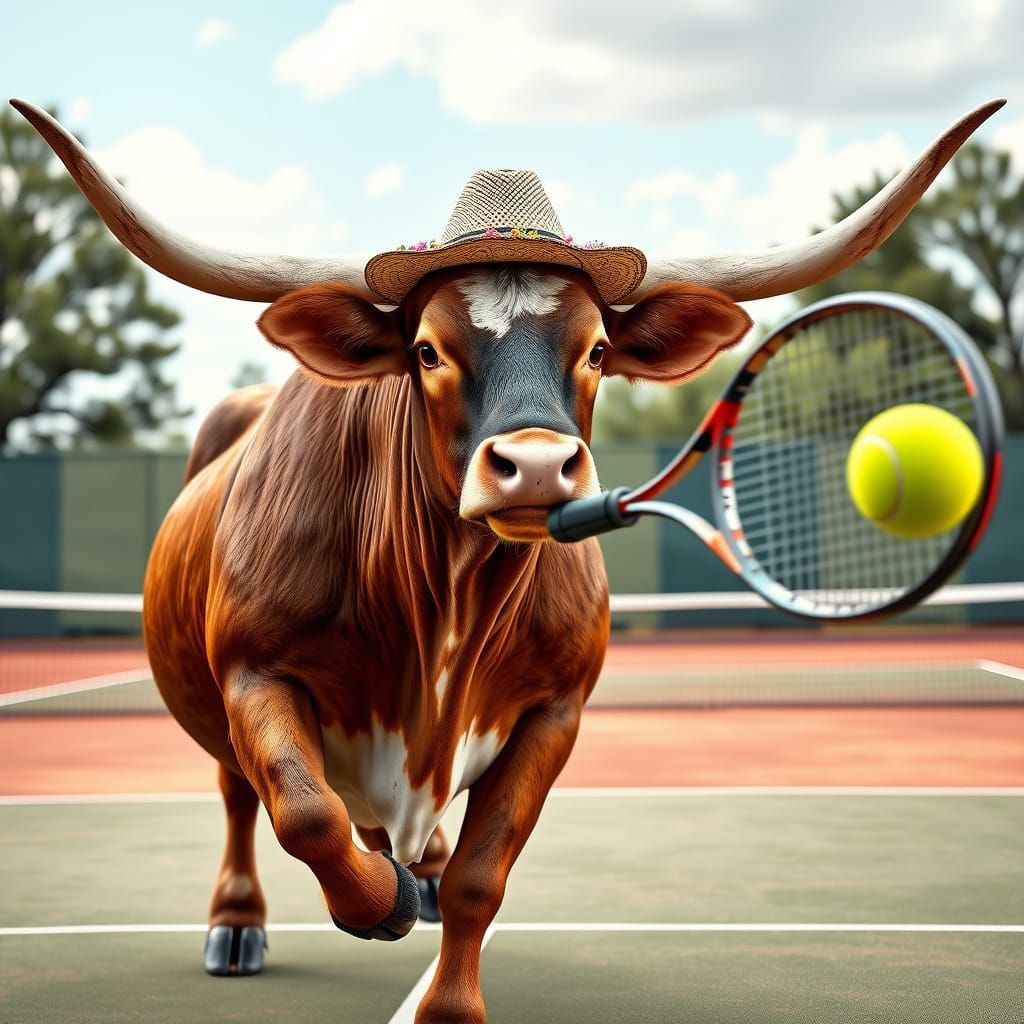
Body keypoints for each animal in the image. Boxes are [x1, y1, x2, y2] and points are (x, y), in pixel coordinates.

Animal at [12, 97, 1000, 1023]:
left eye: (598, 349)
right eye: (425, 349)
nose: (534, 466)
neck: (444, 608)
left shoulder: (553, 712)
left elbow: (482, 876)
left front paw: (448, 996)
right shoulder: (256, 673)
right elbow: (307, 814)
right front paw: (376, 903)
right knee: (239, 800)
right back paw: (240, 921)